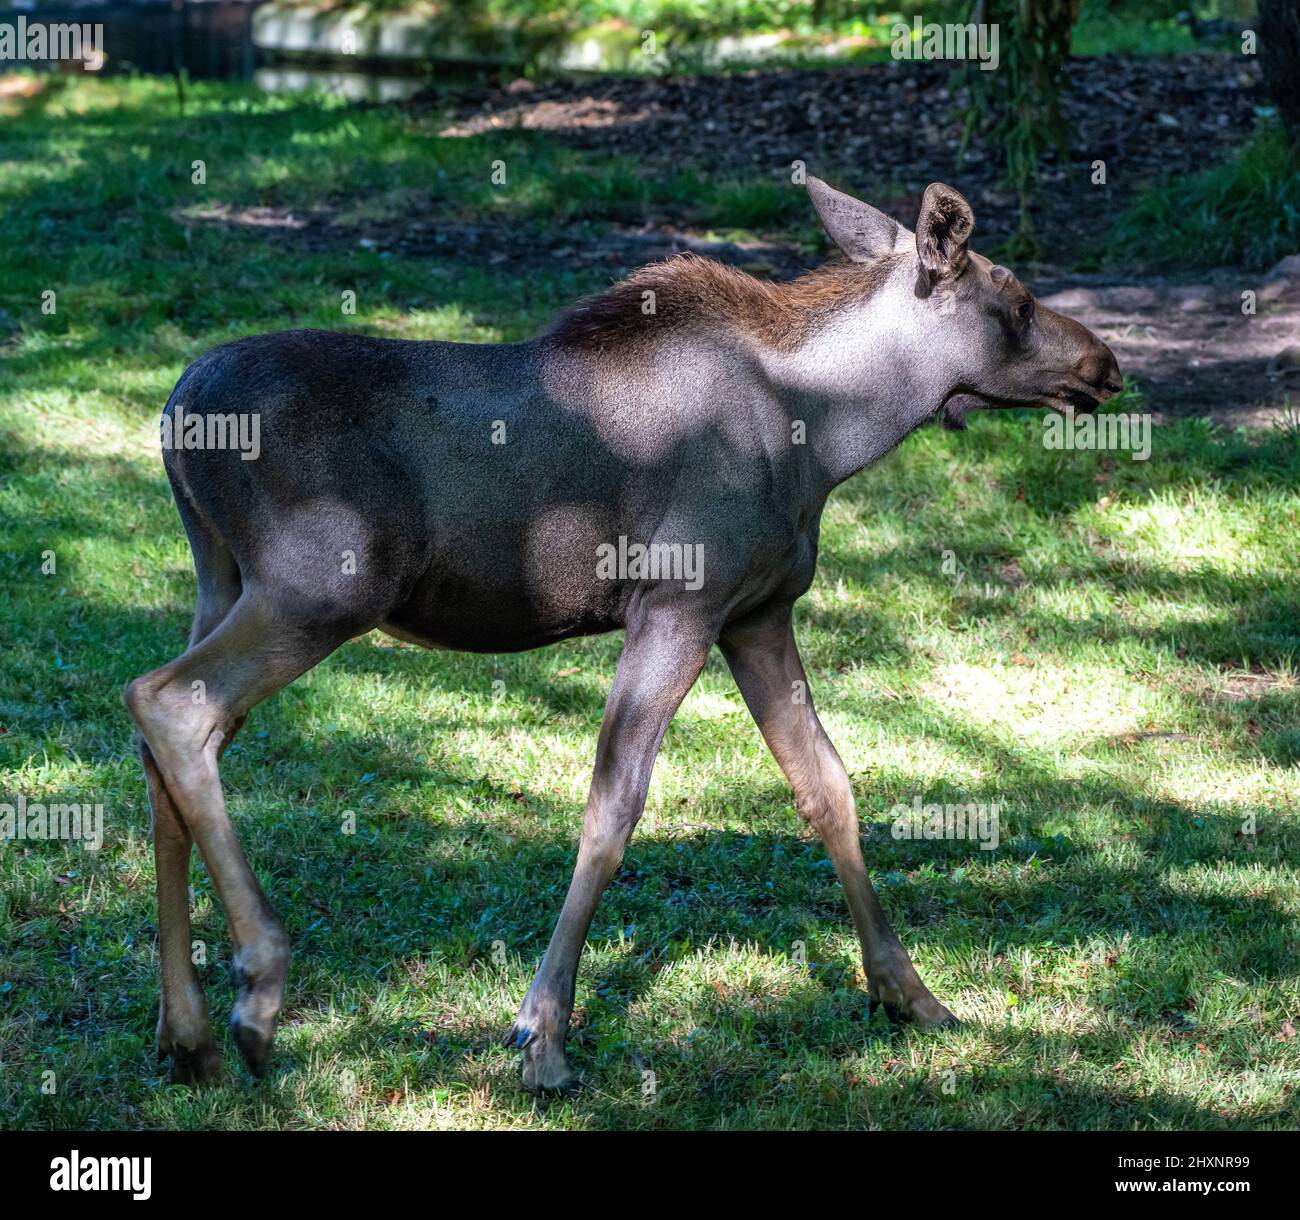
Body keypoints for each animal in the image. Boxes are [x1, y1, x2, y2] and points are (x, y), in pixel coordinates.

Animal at [126, 178, 1122, 1092]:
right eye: (1017, 303)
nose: (1107, 364)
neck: (829, 440)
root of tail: (178, 410)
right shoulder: (679, 603)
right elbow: (615, 803)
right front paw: (541, 1036)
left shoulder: (757, 613)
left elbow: (827, 785)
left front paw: (911, 995)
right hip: (322, 586)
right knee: (166, 702)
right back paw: (258, 990)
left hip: (223, 577)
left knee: (166, 742)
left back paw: (187, 1033)